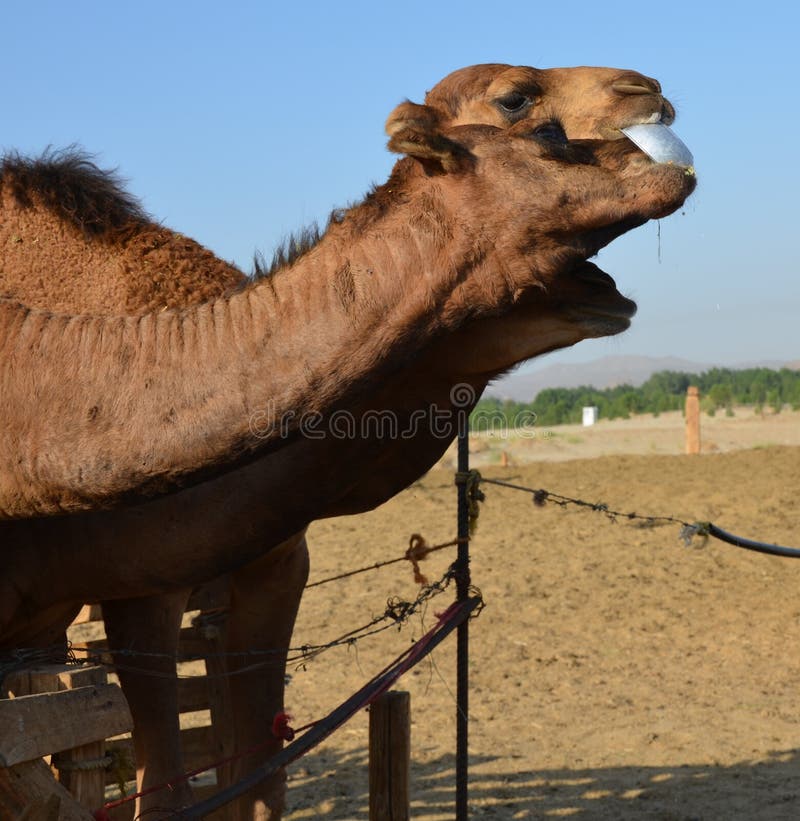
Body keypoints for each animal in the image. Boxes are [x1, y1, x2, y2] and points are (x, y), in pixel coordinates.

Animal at [0, 64, 693, 820]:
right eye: (530, 117)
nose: (650, 96)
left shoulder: (274, 567)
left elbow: (260, 776)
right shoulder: (137, 592)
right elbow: (163, 792)